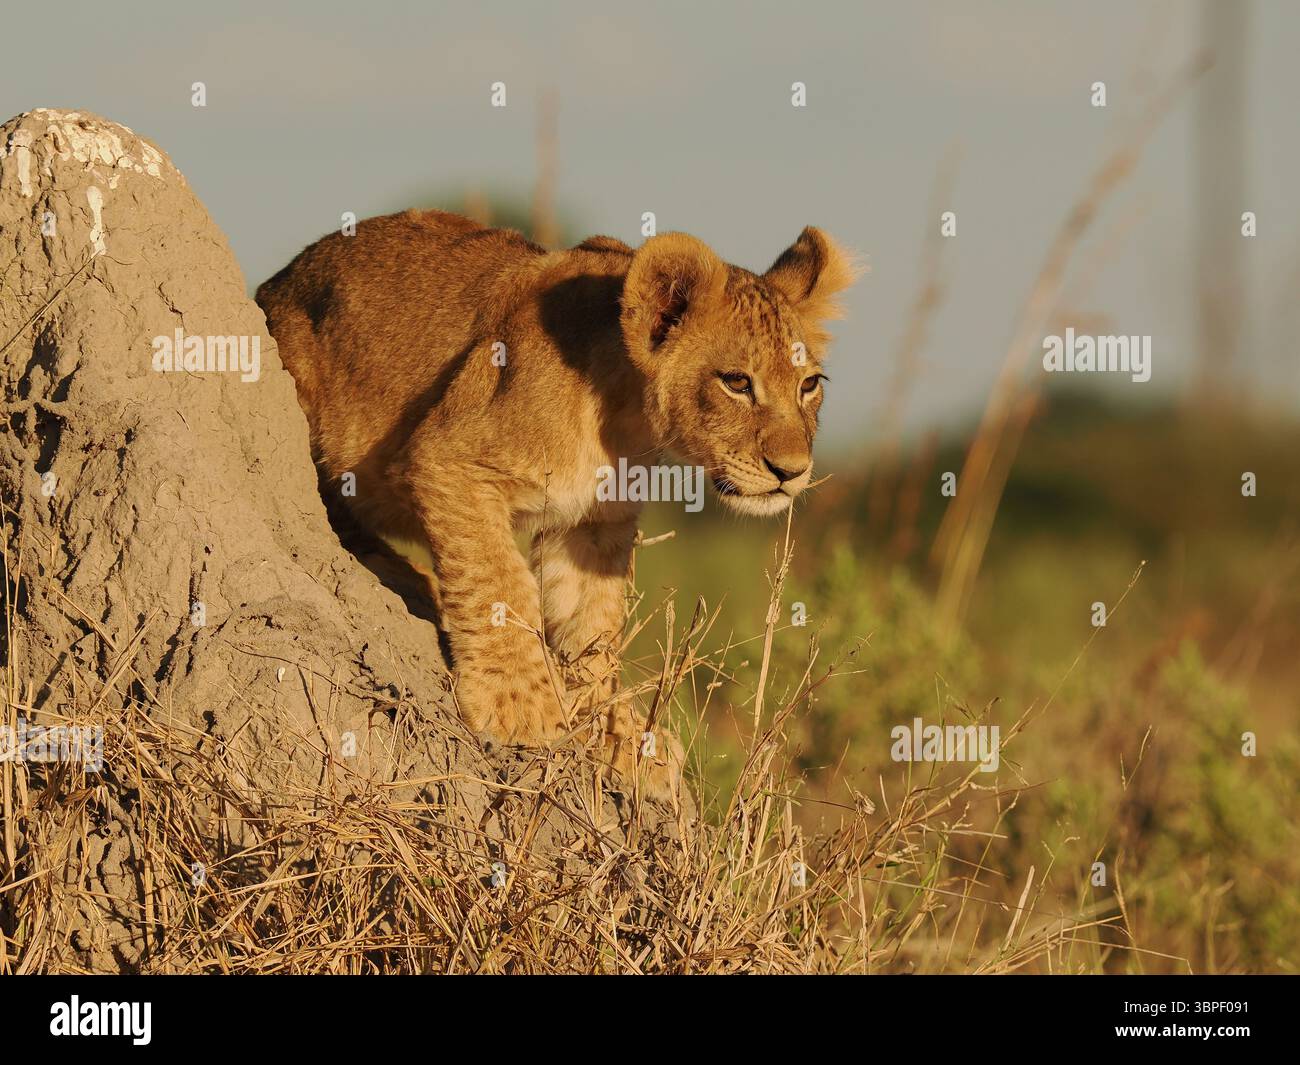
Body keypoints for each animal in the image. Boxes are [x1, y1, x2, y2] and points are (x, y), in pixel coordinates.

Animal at [255, 210, 856, 798]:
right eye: (736, 382)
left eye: (809, 385)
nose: (792, 471)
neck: (623, 411)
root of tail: (271, 285)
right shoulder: (448, 458)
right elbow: (499, 582)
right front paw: (520, 710)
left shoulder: (595, 522)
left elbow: (594, 629)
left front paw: (620, 739)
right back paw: (408, 576)